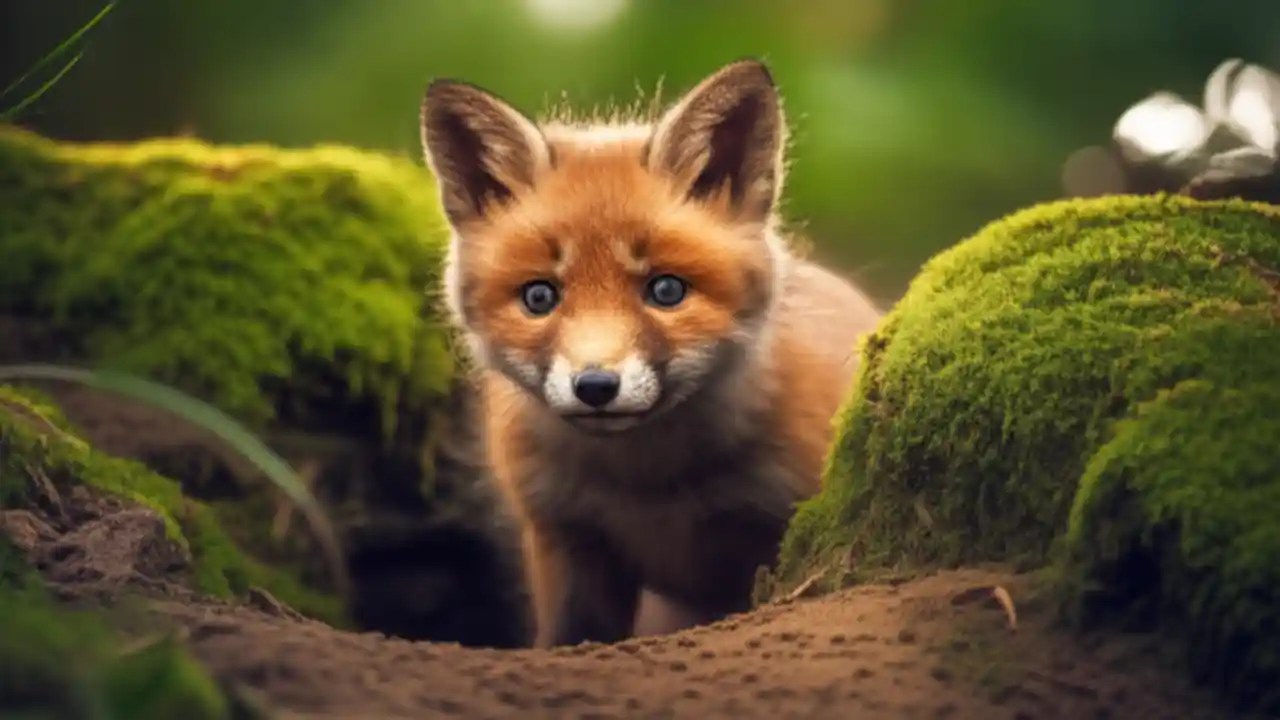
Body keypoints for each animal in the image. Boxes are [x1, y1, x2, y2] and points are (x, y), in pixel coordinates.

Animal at [418, 59, 883, 648]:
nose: (596, 387)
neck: (650, 487)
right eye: (539, 297)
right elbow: (570, 637)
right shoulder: (565, 538)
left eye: (665, 290)